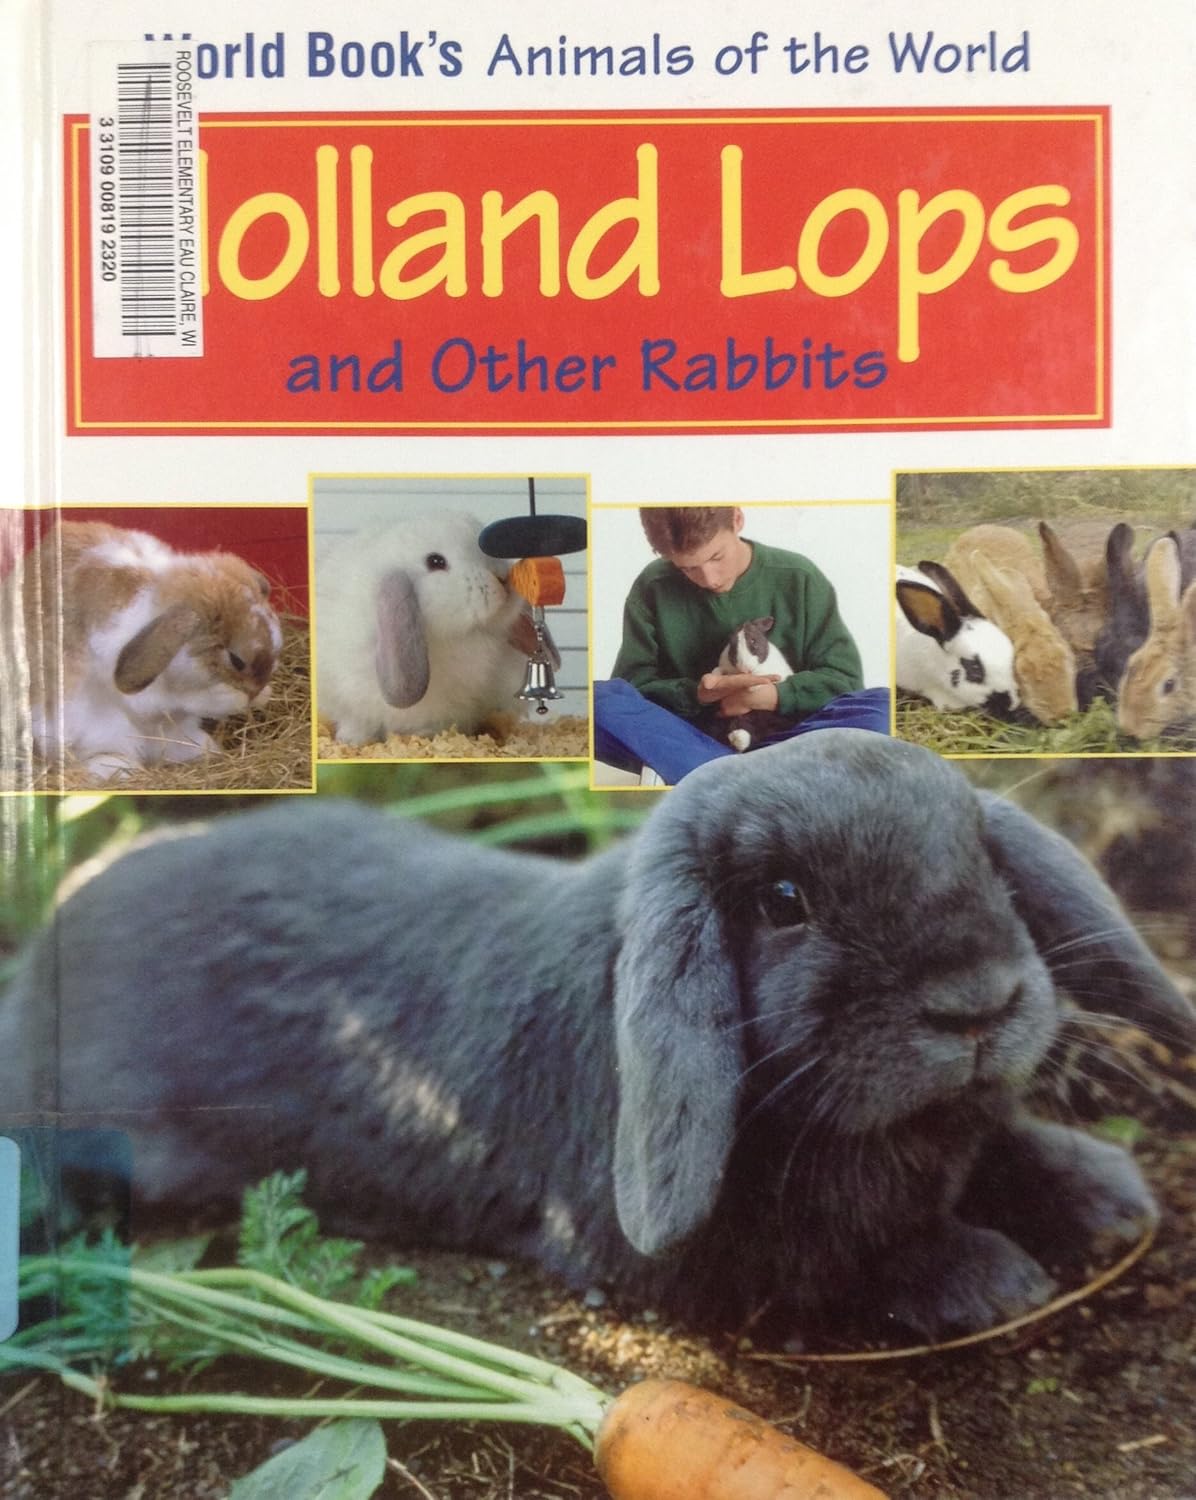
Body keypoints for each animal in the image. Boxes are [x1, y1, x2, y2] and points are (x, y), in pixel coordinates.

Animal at [4, 520, 281, 780]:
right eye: (236, 659)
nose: (257, 690)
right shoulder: (144, 691)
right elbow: (183, 700)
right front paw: (233, 697)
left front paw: (264, 695)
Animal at [4, 730, 1192, 1342]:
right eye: (783, 901)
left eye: (982, 857)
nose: (976, 1004)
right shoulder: (702, 1260)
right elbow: (840, 1262)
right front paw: (986, 1279)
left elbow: (999, 1148)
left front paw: (1103, 1196)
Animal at [701, 616, 796, 751]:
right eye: (732, 646)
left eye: (753, 641)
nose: (746, 669)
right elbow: (719, 669)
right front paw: (713, 677)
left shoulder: (777, 673)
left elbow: (763, 675)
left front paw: (753, 686)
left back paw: (738, 738)